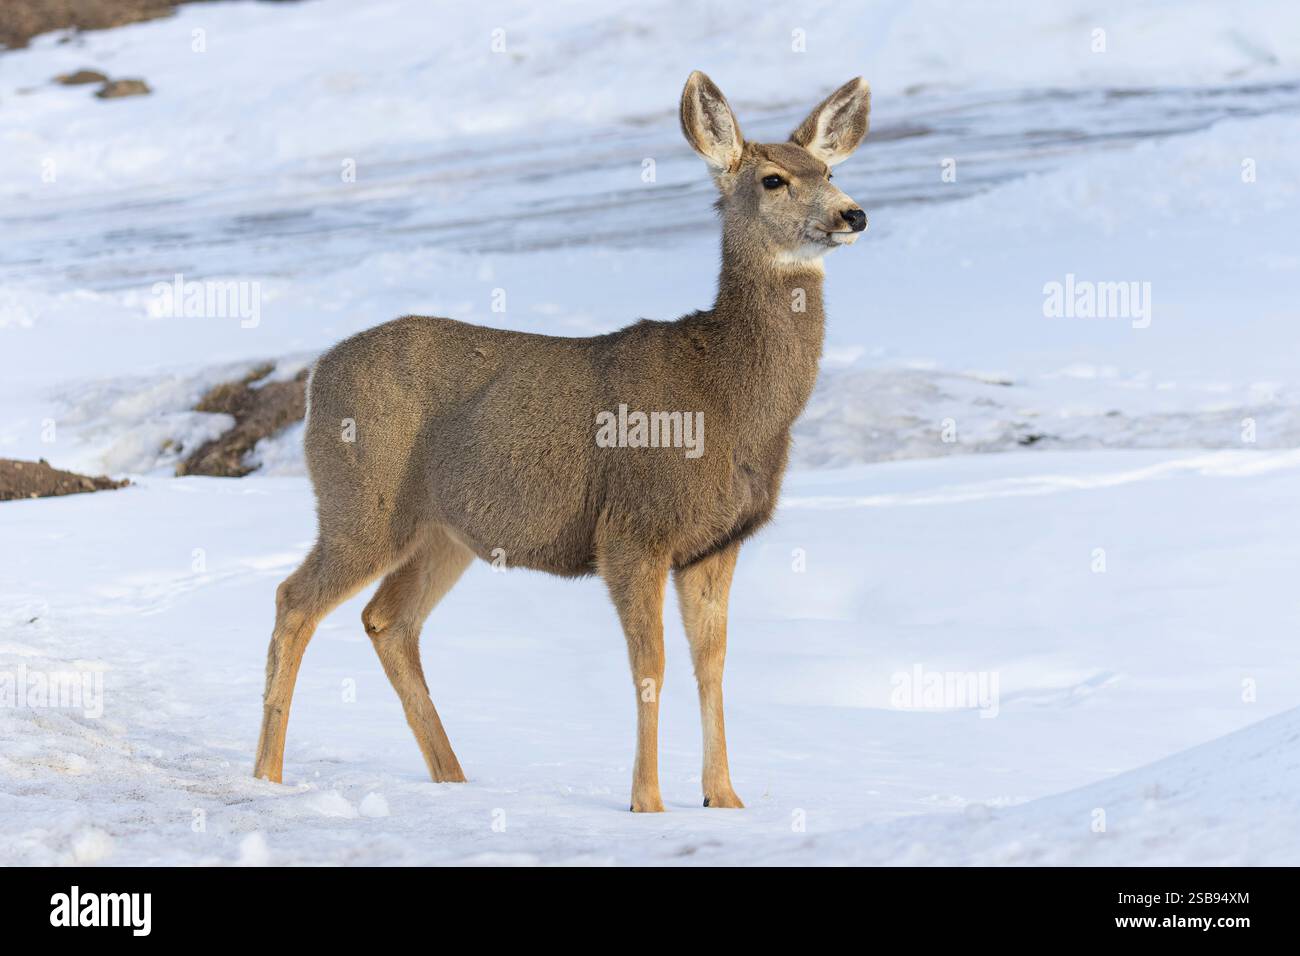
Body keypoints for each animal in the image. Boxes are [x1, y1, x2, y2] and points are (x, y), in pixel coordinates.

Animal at [253, 71, 870, 812]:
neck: (726, 397)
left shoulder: (715, 543)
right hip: (361, 502)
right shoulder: (632, 527)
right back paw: (266, 775)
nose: (853, 215)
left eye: (830, 170)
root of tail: (317, 376)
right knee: (294, 601)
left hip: (444, 532)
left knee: (387, 619)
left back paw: (452, 776)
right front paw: (647, 802)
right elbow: (651, 663)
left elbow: (713, 664)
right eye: (774, 179)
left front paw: (724, 798)